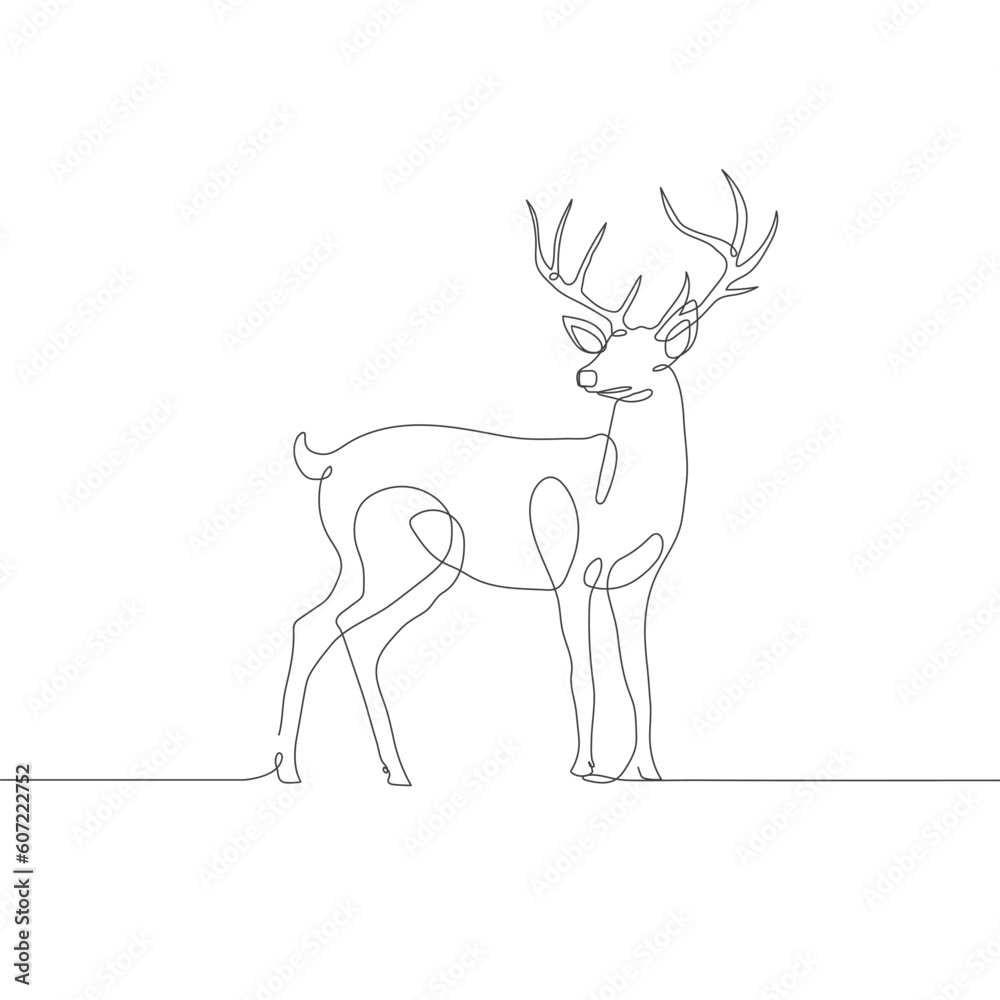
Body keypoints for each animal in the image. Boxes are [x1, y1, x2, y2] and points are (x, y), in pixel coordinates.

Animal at [274, 172, 777, 786]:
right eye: (605, 345)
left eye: (658, 362)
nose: (588, 375)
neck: (615, 498)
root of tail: (326, 461)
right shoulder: (569, 570)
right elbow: (583, 670)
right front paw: (586, 767)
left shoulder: (639, 577)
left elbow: (640, 675)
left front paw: (647, 769)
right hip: (380, 555)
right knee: (330, 625)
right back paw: (310, 767)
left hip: (398, 566)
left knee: (338, 630)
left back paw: (373, 768)